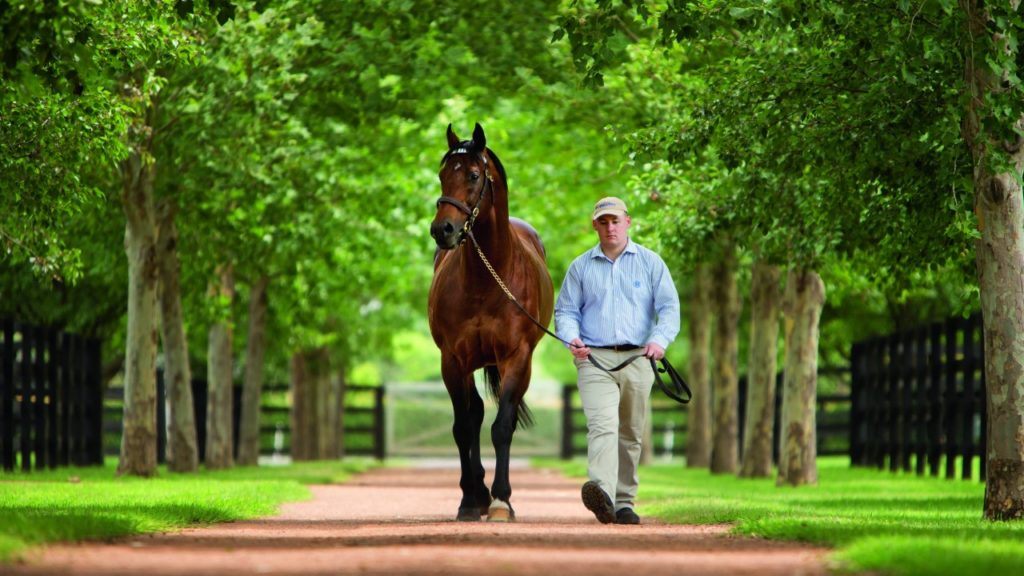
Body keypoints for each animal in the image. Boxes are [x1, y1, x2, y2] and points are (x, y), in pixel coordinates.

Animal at [428, 123, 554, 522]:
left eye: (472, 174)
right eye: (442, 175)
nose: (443, 230)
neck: (488, 279)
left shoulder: (516, 357)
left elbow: (501, 429)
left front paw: (502, 501)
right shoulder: (452, 360)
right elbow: (463, 427)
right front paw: (470, 500)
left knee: (501, 419)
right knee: (474, 415)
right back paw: (478, 491)